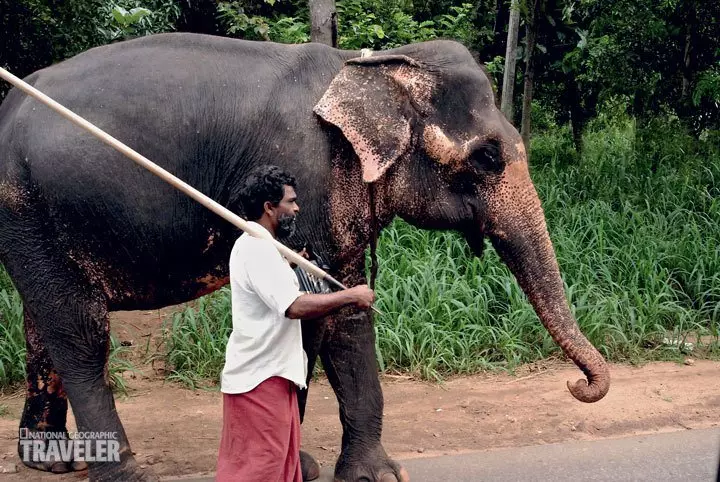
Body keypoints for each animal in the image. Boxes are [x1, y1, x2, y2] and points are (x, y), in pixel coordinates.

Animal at [0, 32, 612, 480]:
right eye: (487, 157)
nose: (578, 386)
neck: (366, 65)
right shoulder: (308, 177)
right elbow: (309, 314)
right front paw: (302, 467)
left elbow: (347, 317)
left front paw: (374, 474)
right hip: (30, 202)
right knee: (81, 332)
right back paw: (122, 472)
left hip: (29, 219)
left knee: (41, 323)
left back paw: (53, 462)